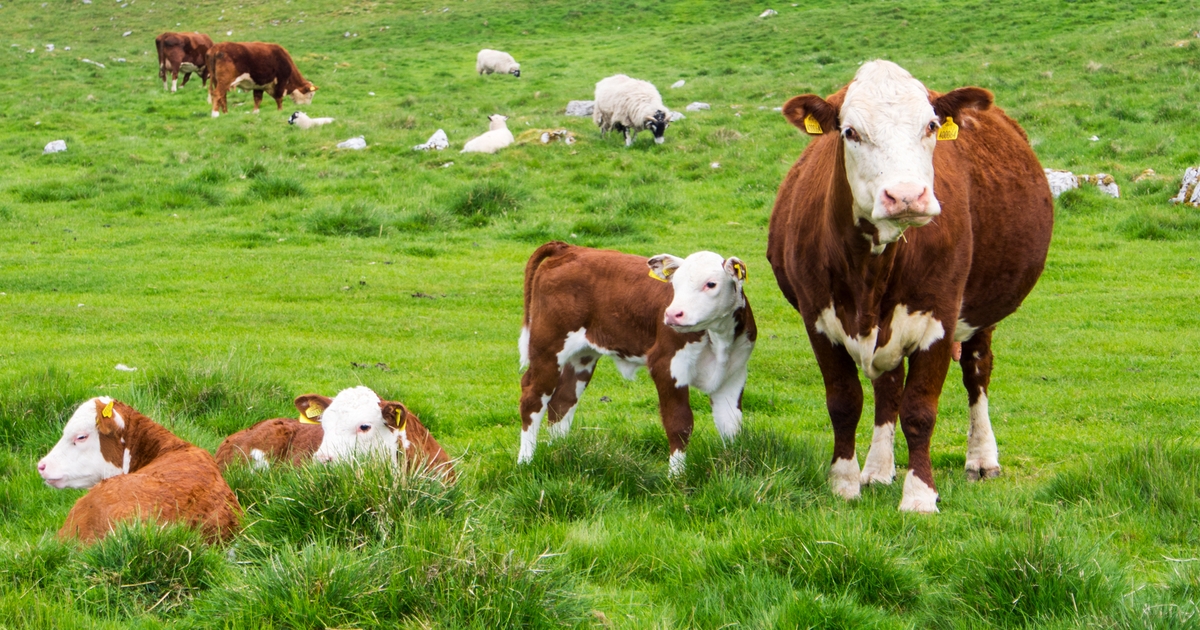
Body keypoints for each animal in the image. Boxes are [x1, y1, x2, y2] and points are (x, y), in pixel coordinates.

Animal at [518, 241, 757, 476]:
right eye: (675, 284)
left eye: (711, 284)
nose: (672, 314)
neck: (718, 339)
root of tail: (569, 248)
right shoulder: (668, 365)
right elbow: (679, 422)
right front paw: (676, 478)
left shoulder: (733, 374)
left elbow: (731, 424)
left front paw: (732, 466)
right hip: (547, 348)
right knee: (533, 399)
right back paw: (526, 462)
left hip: (582, 356)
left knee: (562, 401)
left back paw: (560, 451)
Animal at [767, 60, 1053, 512]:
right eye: (850, 132)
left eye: (931, 126)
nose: (906, 195)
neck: (870, 270)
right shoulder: (818, 320)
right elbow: (845, 402)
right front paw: (844, 484)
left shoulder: (939, 319)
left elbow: (919, 410)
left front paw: (920, 496)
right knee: (887, 388)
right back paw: (878, 469)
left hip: (981, 311)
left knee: (977, 371)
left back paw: (982, 458)